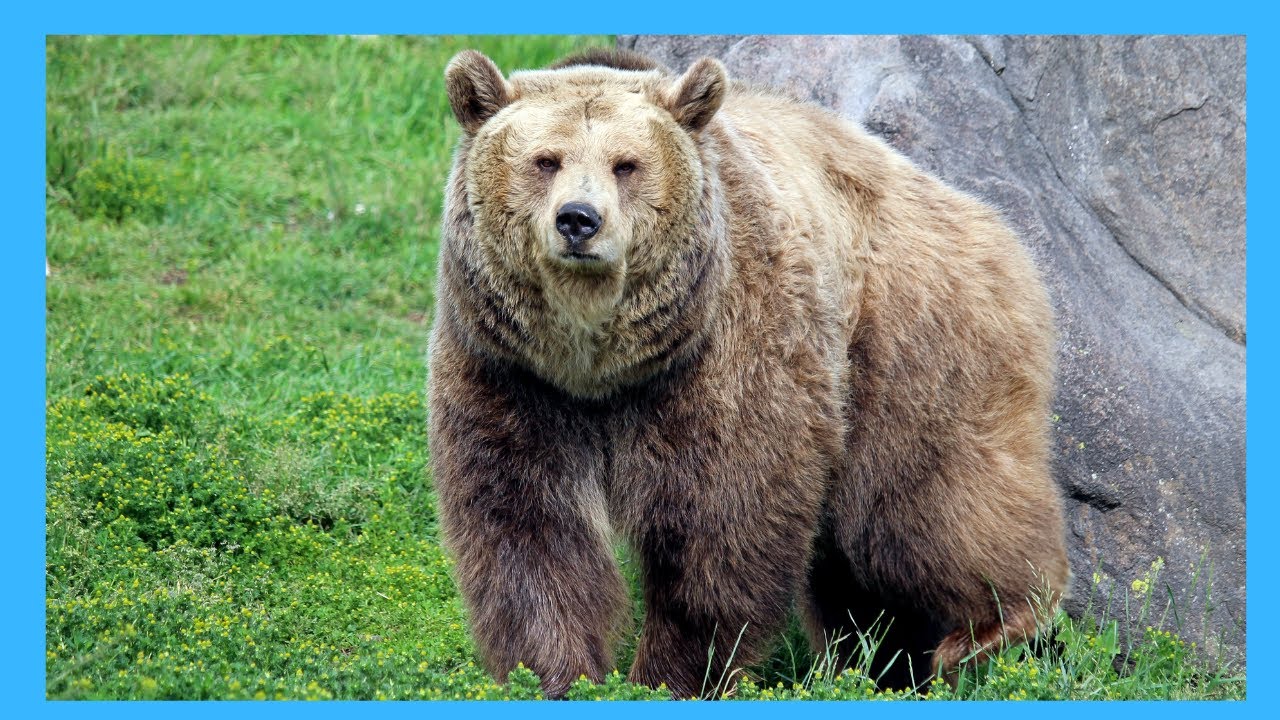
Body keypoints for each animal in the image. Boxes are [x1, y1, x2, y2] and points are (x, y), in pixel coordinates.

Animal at [427, 46, 1070, 698]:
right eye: (545, 160)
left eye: (626, 164)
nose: (578, 220)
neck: (599, 365)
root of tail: (983, 215)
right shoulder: (511, 375)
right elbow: (527, 529)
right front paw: (554, 673)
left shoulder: (724, 355)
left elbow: (723, 520)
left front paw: (675, 674)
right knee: (853, 564)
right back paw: (882, 662)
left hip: (908, 339)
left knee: (921, 505)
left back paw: (992, 626)